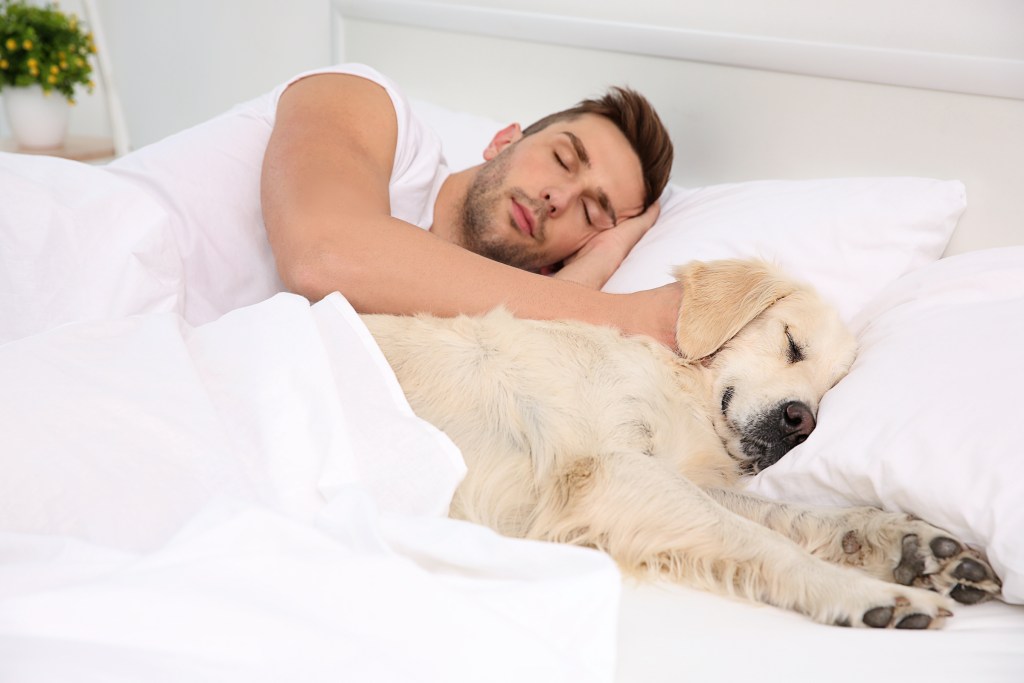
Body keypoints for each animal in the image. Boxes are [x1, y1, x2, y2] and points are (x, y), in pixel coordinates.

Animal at [362, 259, 999, 626]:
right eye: (793, 345)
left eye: (833, 389)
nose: (803, 422)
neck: (681, 386)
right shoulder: (608, 471)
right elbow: (760, 539)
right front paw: (862, 591)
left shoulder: (663, 473)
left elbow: (789, 516)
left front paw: (908, 542)